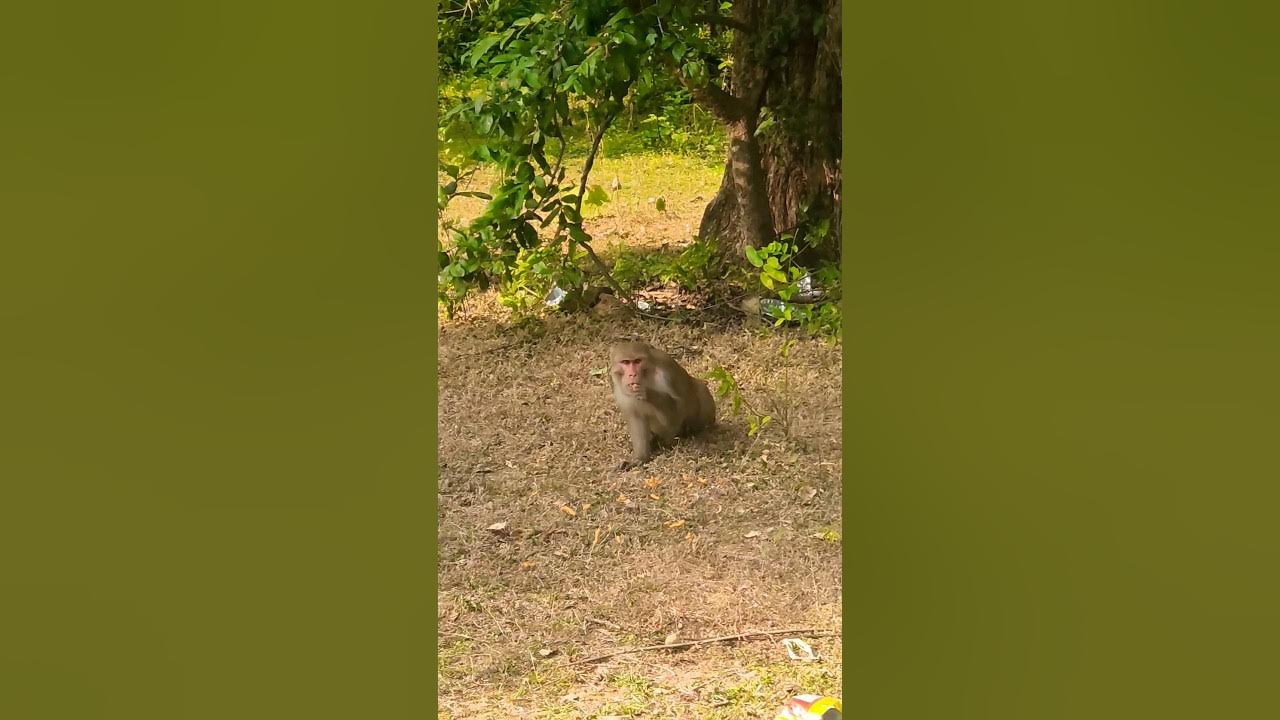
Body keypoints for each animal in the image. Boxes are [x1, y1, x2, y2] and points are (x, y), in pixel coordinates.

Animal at [608, 341, 717, 470]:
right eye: (625, 362)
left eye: (637, 361)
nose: (632, 375)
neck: (646, 375)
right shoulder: (620, 390)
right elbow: (636, 418)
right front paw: (639, 458)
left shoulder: (665, 376)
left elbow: (677, 412)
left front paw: (647, 392)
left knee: (701, 390)